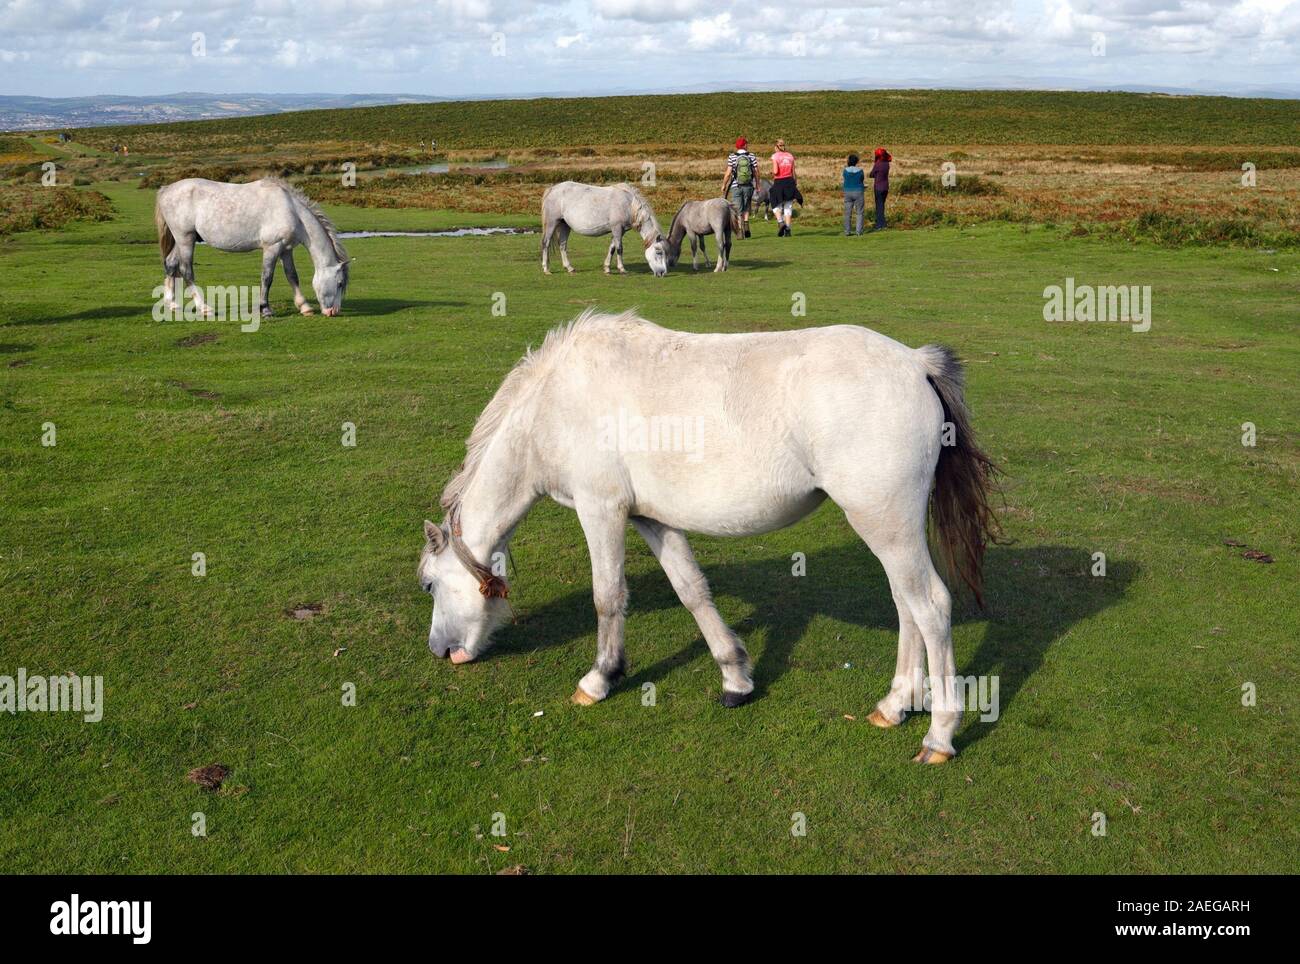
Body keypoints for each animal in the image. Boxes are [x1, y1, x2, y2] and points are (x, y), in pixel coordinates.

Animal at [155, 177, 350, 318]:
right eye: (340, 283)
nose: (333, 312)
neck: (291, 210)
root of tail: (166, 189)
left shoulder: (286, 250)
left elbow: (292, 276)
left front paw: (304, 307)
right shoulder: (272, 248)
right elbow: (267, 277)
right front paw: (265, 309)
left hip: (183, 240)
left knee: (171, 264)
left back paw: (172, 304)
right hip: (185, 240)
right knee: (186, 271)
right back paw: (204, 308)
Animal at [416, 310, 1001, 764]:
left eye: (428, 585)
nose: (440, 651)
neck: (556, 402)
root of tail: (916, 363)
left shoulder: (600, 510)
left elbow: (608, 597)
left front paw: (601, 678)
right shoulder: (652, 519)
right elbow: (693, 592)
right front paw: (735, 678)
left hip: (885, 524)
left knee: (930, 607)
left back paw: (939, 734)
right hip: (891, 530)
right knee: (907, 606)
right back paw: (896, 705)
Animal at [540, 182, 669, 277]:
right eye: (659, 252)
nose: (662, 272)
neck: (628, 205)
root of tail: (552, 189)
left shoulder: (620, 231)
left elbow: (612, 248)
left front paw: (607, 268)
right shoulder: (617, 228)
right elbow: (619, 248)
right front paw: (622, 269)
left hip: (564, 225)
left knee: (562, 245)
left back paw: (569, 268)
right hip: (552, 223)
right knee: (546, 243)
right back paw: (546, 269)